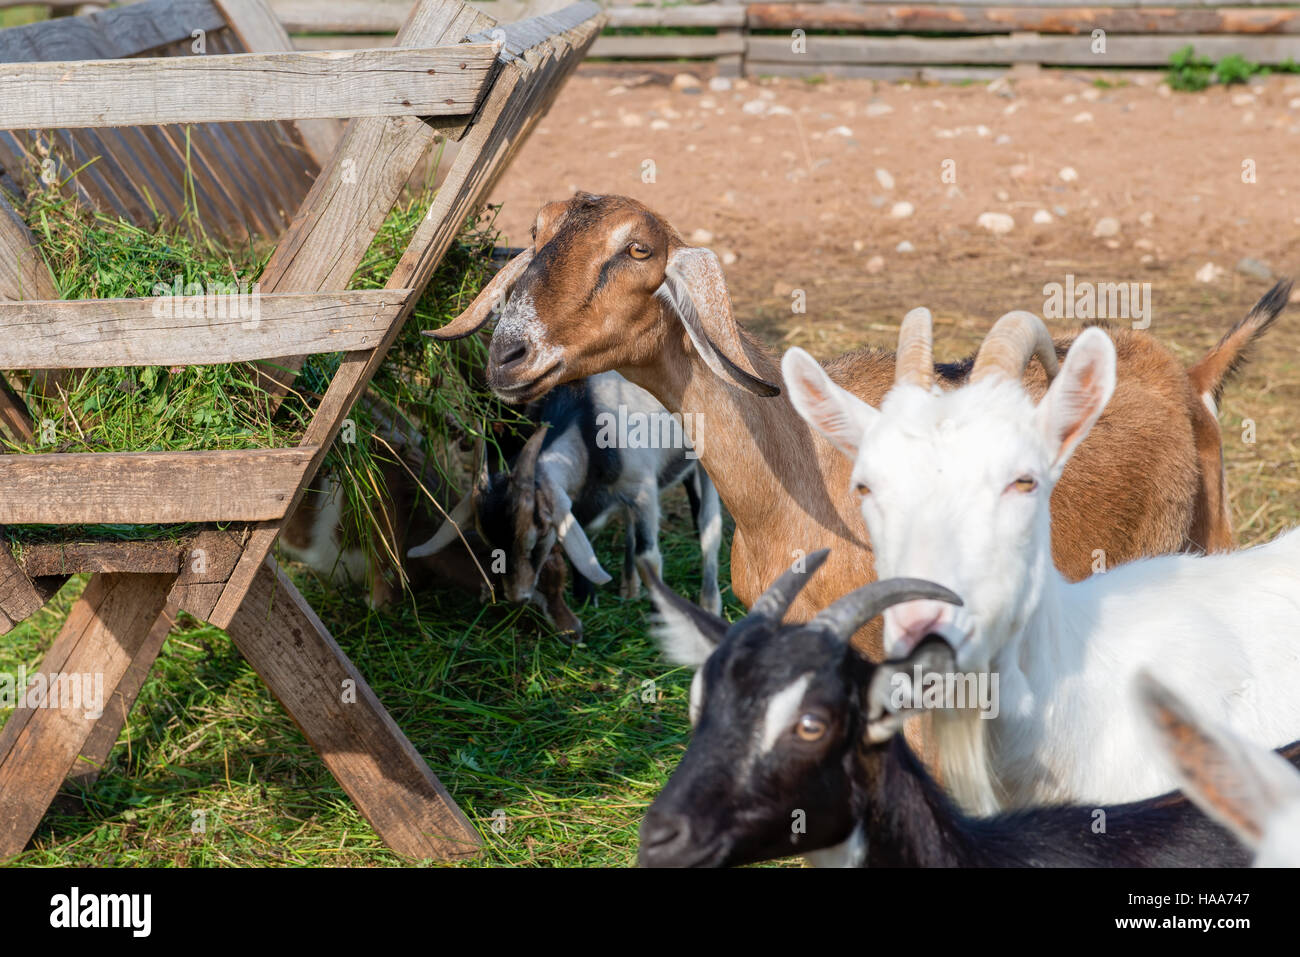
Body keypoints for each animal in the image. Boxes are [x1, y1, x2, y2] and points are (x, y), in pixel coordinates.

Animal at [408, 371, 722, 638]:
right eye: (490, 543)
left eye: (536, 540)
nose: (517, 597)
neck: (586, 417)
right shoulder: (585, 496)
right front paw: (587, 597)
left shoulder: (642, 489)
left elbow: (649, 556)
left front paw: (659, 617)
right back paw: (629, 587)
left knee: (709, 525)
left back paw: (710, 603)